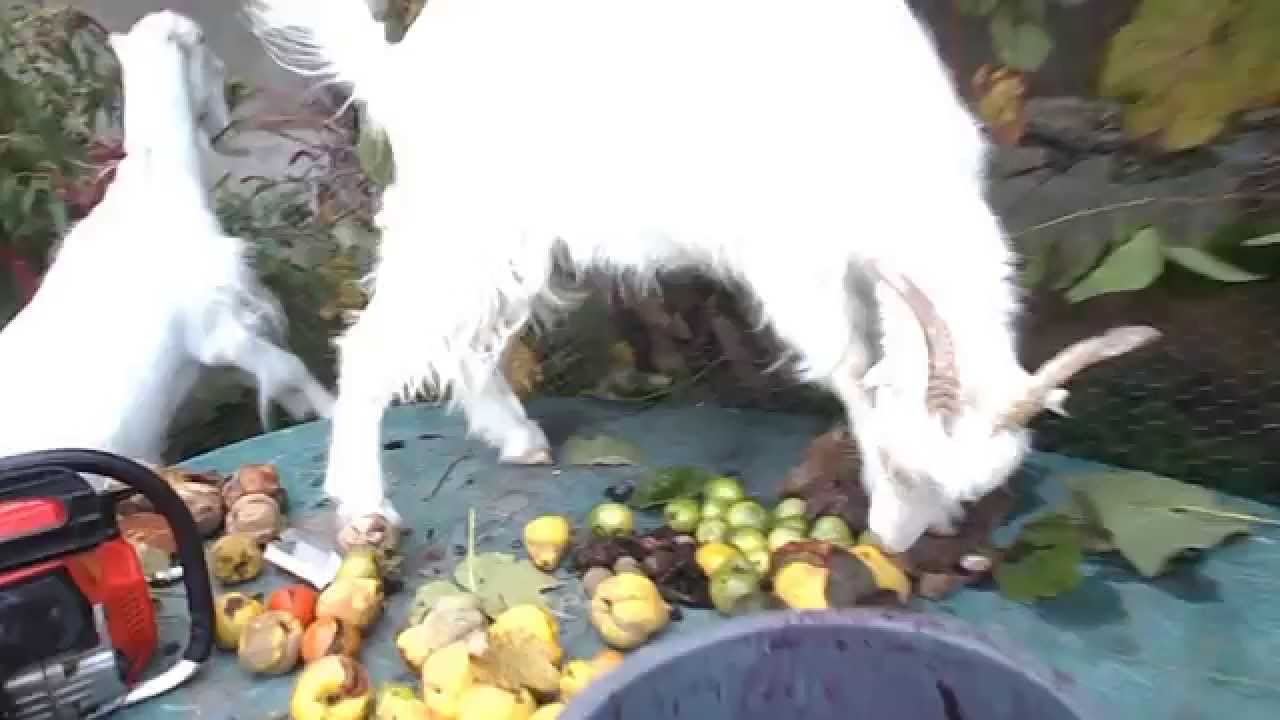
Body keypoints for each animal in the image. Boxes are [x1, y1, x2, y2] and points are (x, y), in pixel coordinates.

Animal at [248, 0, 1157, 552]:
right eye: (908, 461)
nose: (900, 543)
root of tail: (402, 64)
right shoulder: (800, 265)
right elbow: (853, 368)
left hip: (513, 237)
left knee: (475, 341)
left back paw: (516, 438)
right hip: (461, 217)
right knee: (373, 348)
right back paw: (365, 505)